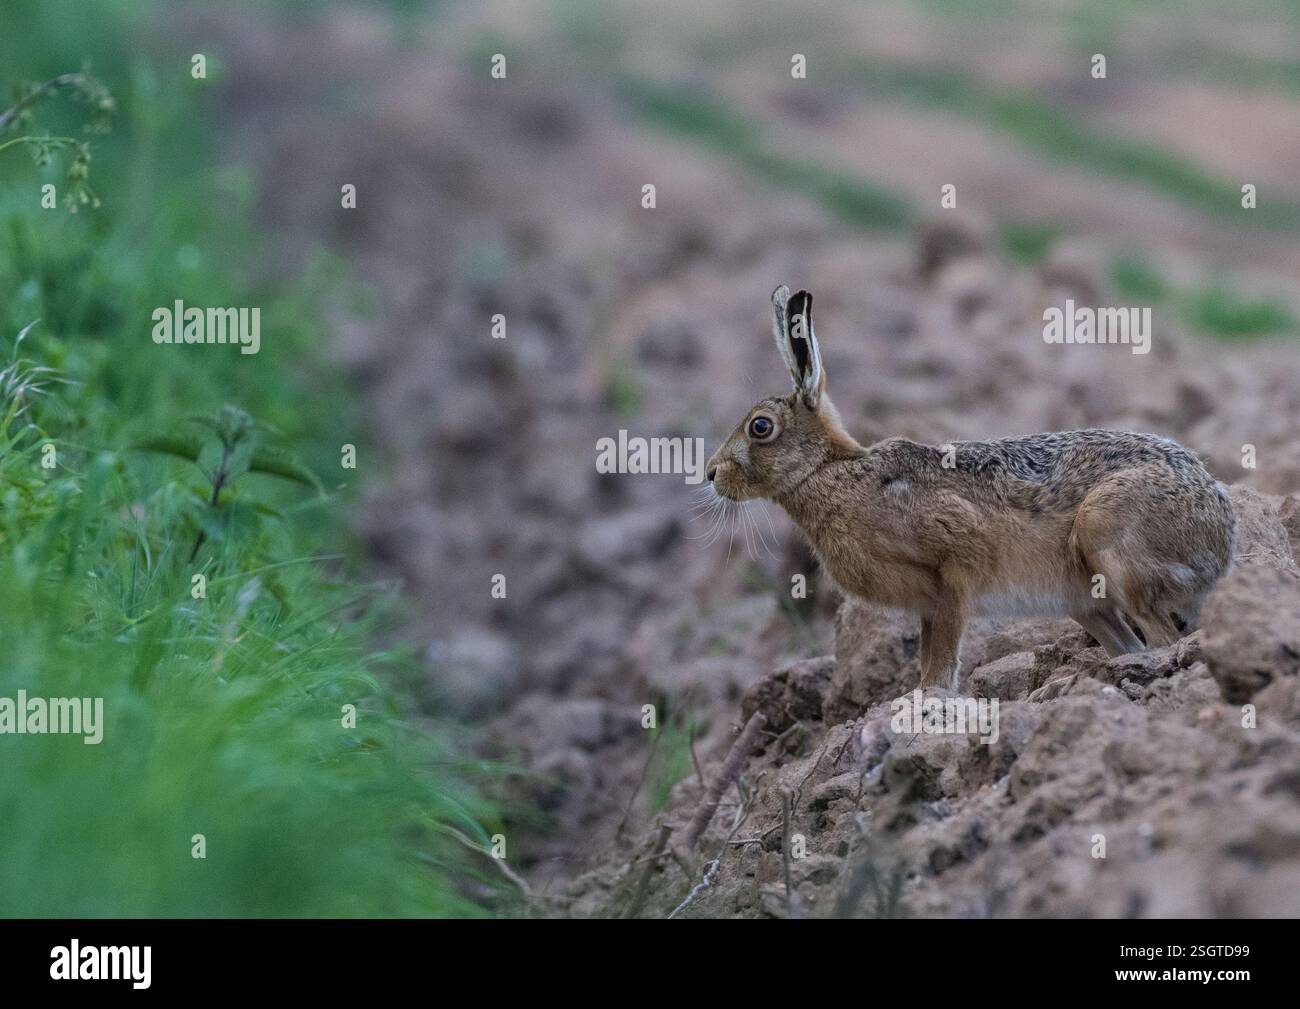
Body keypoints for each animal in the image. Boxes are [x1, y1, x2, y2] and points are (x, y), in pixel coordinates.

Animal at [705, 285, 1236, 689]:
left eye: (760, 427)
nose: (710, 473)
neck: (831, 471)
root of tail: (1223, 541)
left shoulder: (953, 572)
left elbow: (941, 662)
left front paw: (927, 703)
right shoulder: (925, 606)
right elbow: (926, 656)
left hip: (1111, 536)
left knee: (1164, 640)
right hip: (1085, 603)